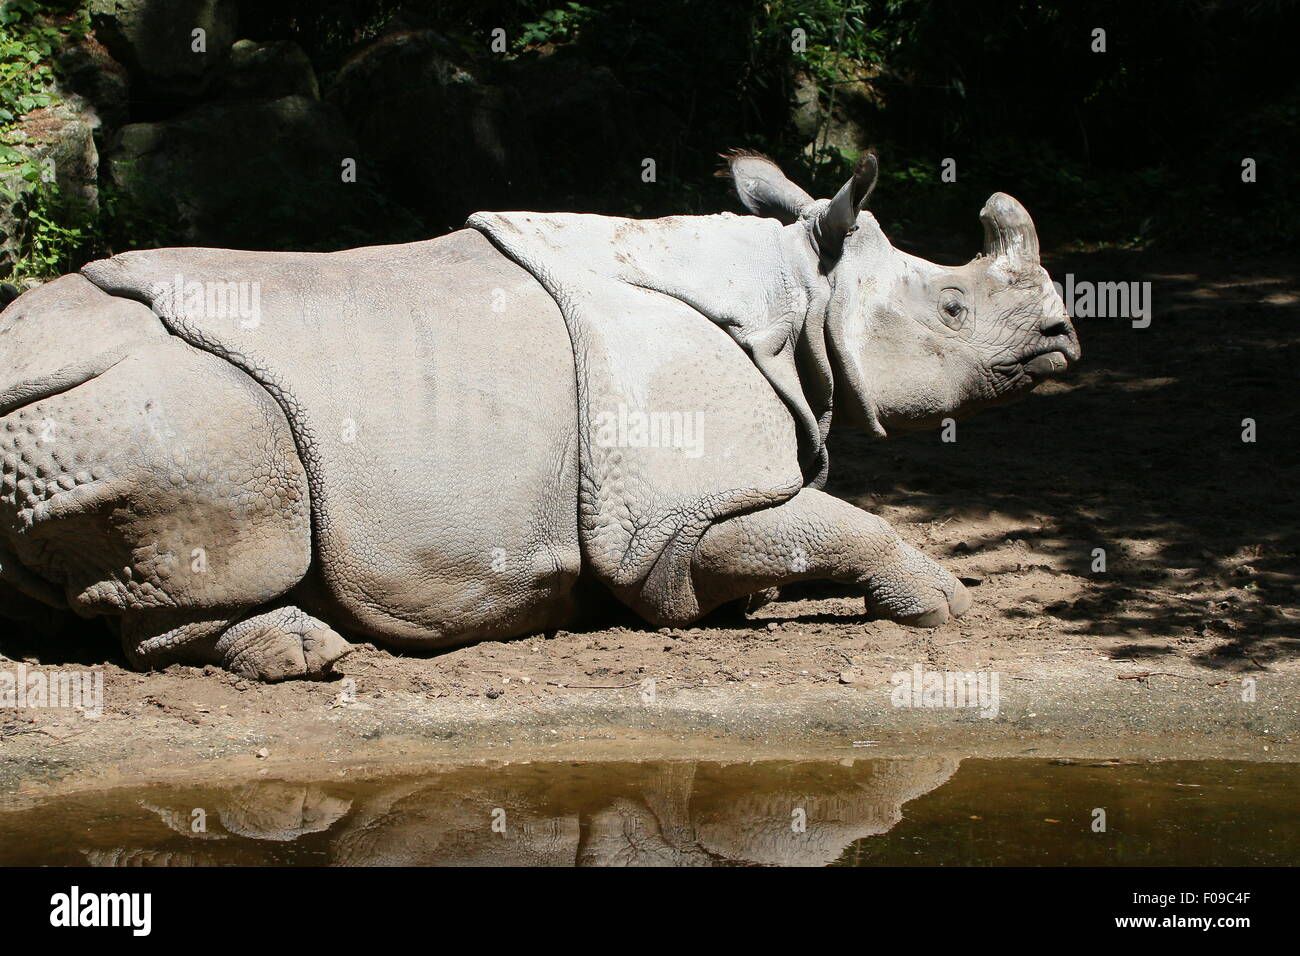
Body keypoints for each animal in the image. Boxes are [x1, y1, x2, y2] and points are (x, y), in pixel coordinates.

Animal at [0, 153, 1078, 680]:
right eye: (953, 308)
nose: (1067, 334)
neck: (797, 297)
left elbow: (797, 531)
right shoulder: (667, 524)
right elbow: (836, 524)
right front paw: (943, 603)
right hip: (167, 404)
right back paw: (306, 656)